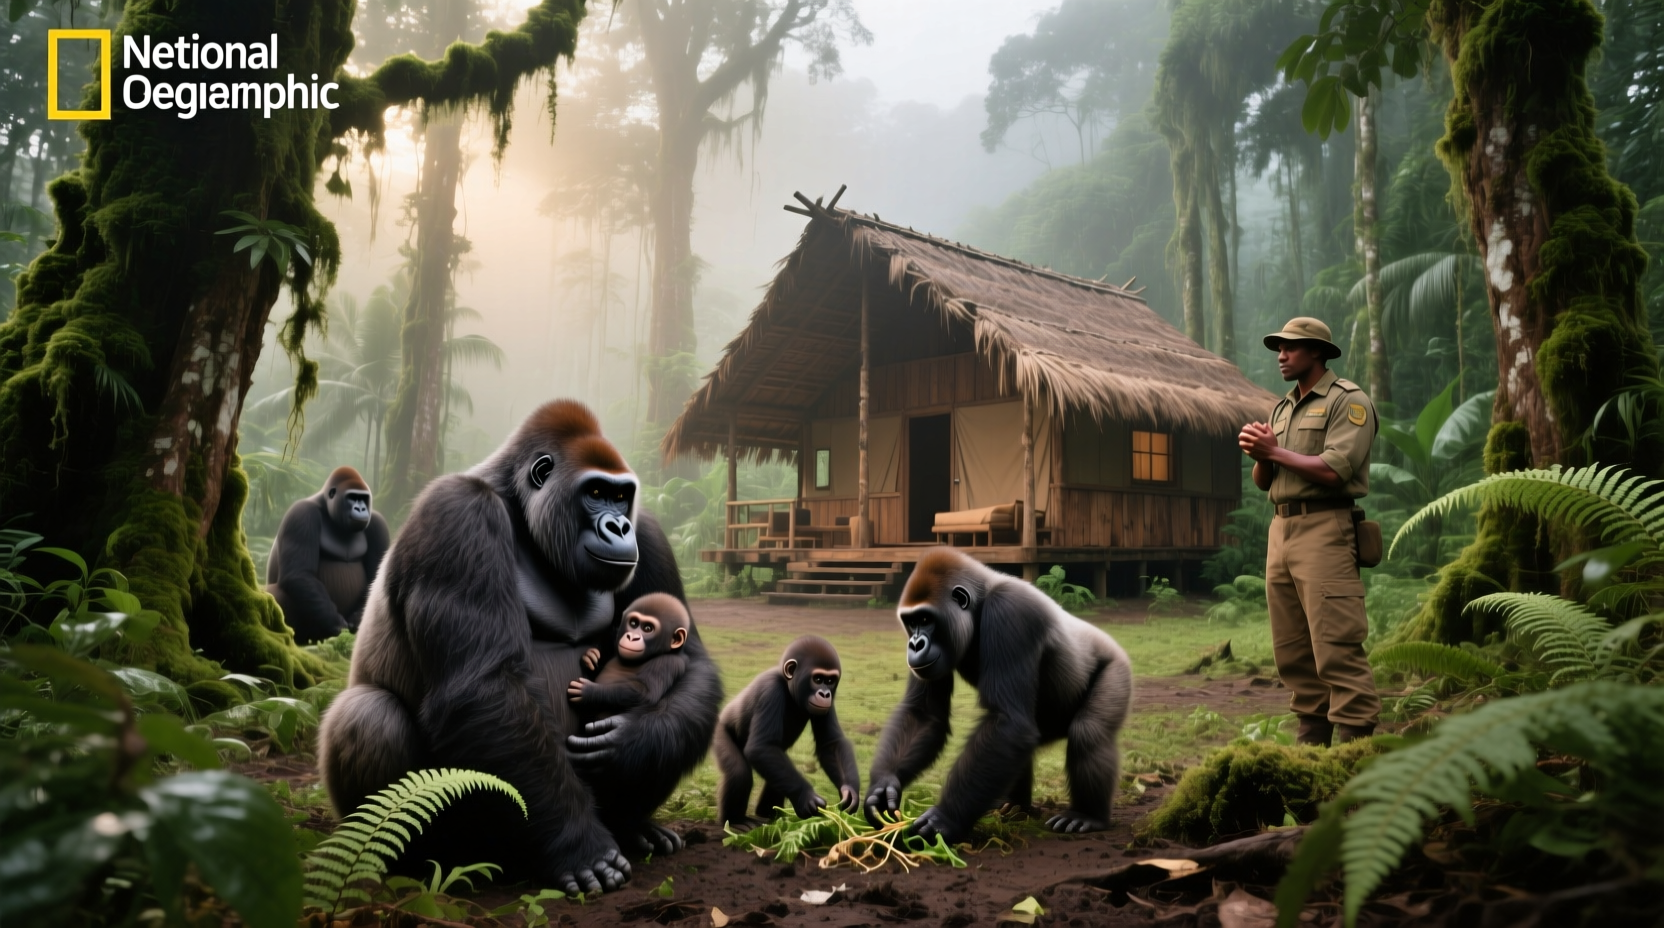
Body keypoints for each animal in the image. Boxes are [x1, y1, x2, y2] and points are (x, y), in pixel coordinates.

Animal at [266, 466, 390, 644]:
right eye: (352, 497)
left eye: (363, 498)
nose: (361, 509)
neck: (325, 505)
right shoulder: (301, 513)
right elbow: (299, 574)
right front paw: (337, 624)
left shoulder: (378, 523)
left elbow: (376, 579)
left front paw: (357, 621)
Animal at [568, 592, 690, 721]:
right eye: (633, 623)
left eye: (648, 628)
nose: (632, 637)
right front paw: (590, 657)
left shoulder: (667, 662)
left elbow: (645, 693)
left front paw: (589, 692)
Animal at [714, 635, 860, 828]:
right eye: (818, 679)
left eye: (830, 681)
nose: (825, 694)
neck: (788, 683)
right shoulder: (770, 690)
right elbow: (761, 747)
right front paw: (806, 796)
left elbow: (830, 744)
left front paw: (849, 790)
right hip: (720, 731)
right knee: (739, 772)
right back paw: (735, 820)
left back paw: (769, 813)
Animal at [863, 548, 1132, 843]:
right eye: (911, 623)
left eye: (925, 620)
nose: (914, 644)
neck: (981, 600)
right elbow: (925, 714)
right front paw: (883, 785)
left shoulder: (1009, 609)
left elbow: (1008, 721)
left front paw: (945, 818)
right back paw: (1015, 806)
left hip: (1117, 669)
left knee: (1088, 732)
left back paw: (1088, 815)